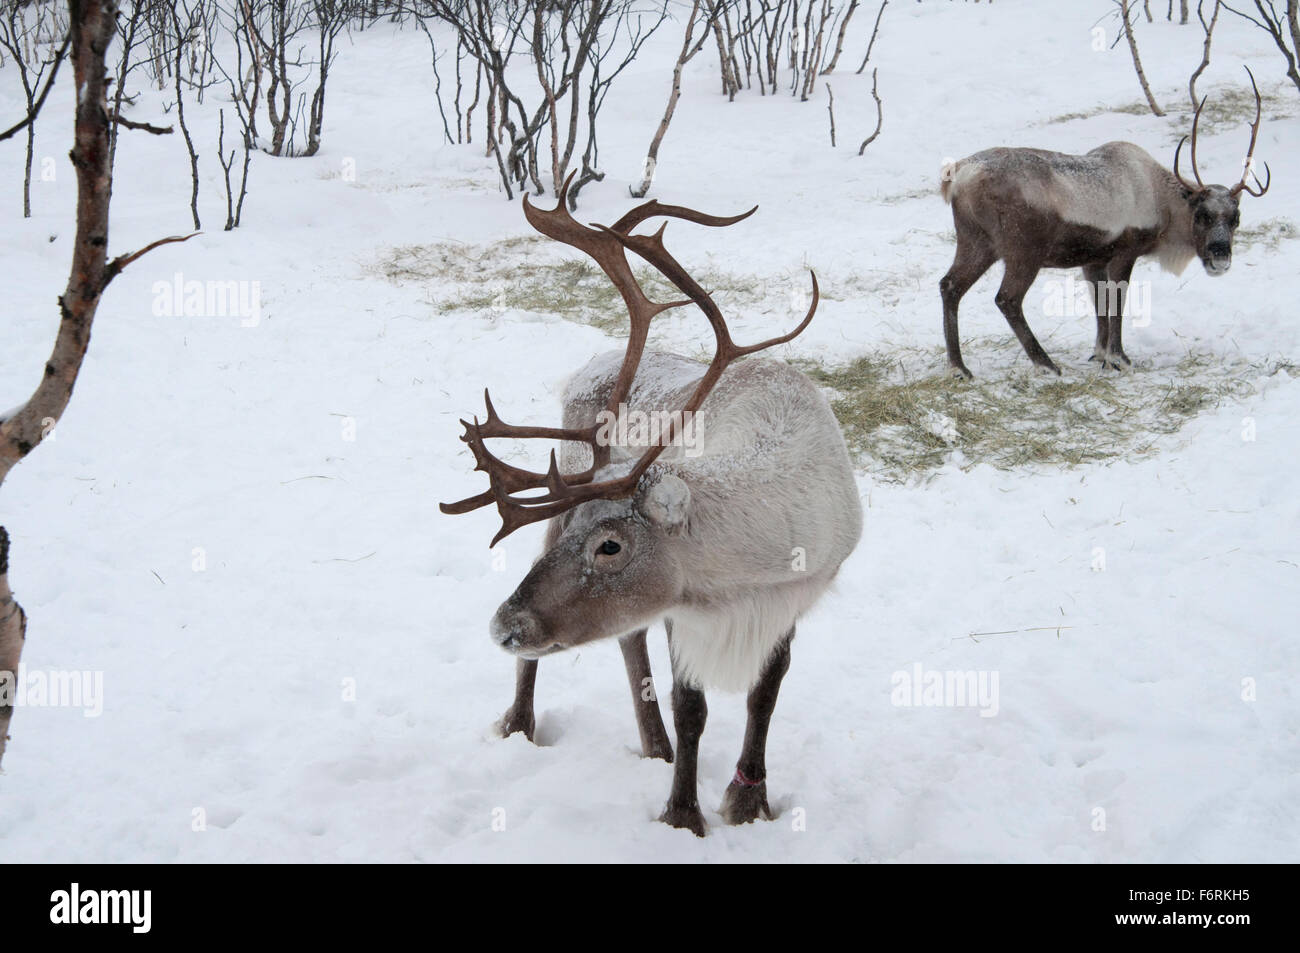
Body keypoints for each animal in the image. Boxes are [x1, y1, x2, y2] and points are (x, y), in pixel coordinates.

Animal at [440, 175, 863, 837]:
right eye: (586, 534)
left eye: (610, 545)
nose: (504, 626)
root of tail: (590, 363)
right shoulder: (680, 606)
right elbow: (690, 704)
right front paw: (682, 814)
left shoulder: (796, 593)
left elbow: (765, 694)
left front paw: (749, 801)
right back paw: (521, 723)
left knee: (626, 638)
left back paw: (653, 744)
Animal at [938, 67, 1271, 379]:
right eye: (1202, 215)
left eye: (1235, 218)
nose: (1220, 257)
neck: (1161, 200)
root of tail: (959, 174)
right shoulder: (1125, 253)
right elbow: (1117, 302)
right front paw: (1119, 359)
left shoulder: (1093, 259)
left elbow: (1100, 303)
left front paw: (1099, 354)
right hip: (1024, 252)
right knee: (1007, 299)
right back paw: (1045, 364)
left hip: (977, 242)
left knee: (950, 286)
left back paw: (959, 368)